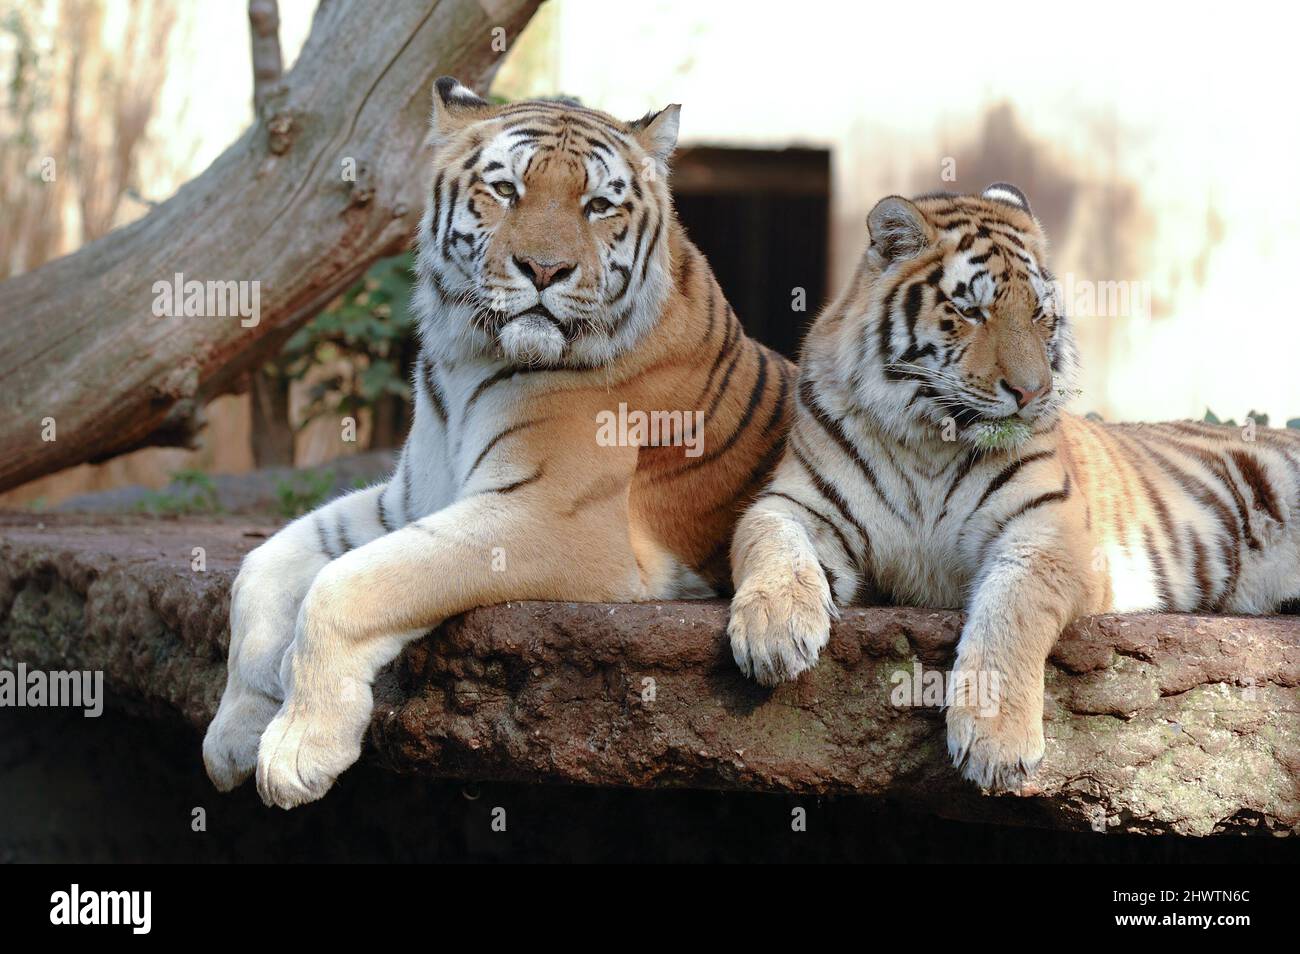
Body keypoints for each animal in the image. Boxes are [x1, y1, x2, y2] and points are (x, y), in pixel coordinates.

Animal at [203, 77, 793, 808]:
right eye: (507, 189)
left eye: (598, 205)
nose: (545, 269)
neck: (466, 356)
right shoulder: (409, 500)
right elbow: (263, 568)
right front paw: (233, 734)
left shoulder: (547, 515)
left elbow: (348, 584)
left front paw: (296, 747)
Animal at [727, 183, 1300, 791]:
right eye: (971, 311)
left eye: (1040, 315)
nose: (1033, 392)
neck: (930, 439)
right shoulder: (797, 502)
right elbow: (770, 541)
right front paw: (772, 631)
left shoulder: (1048, 530)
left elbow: (1011, 610)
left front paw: (996, 744)